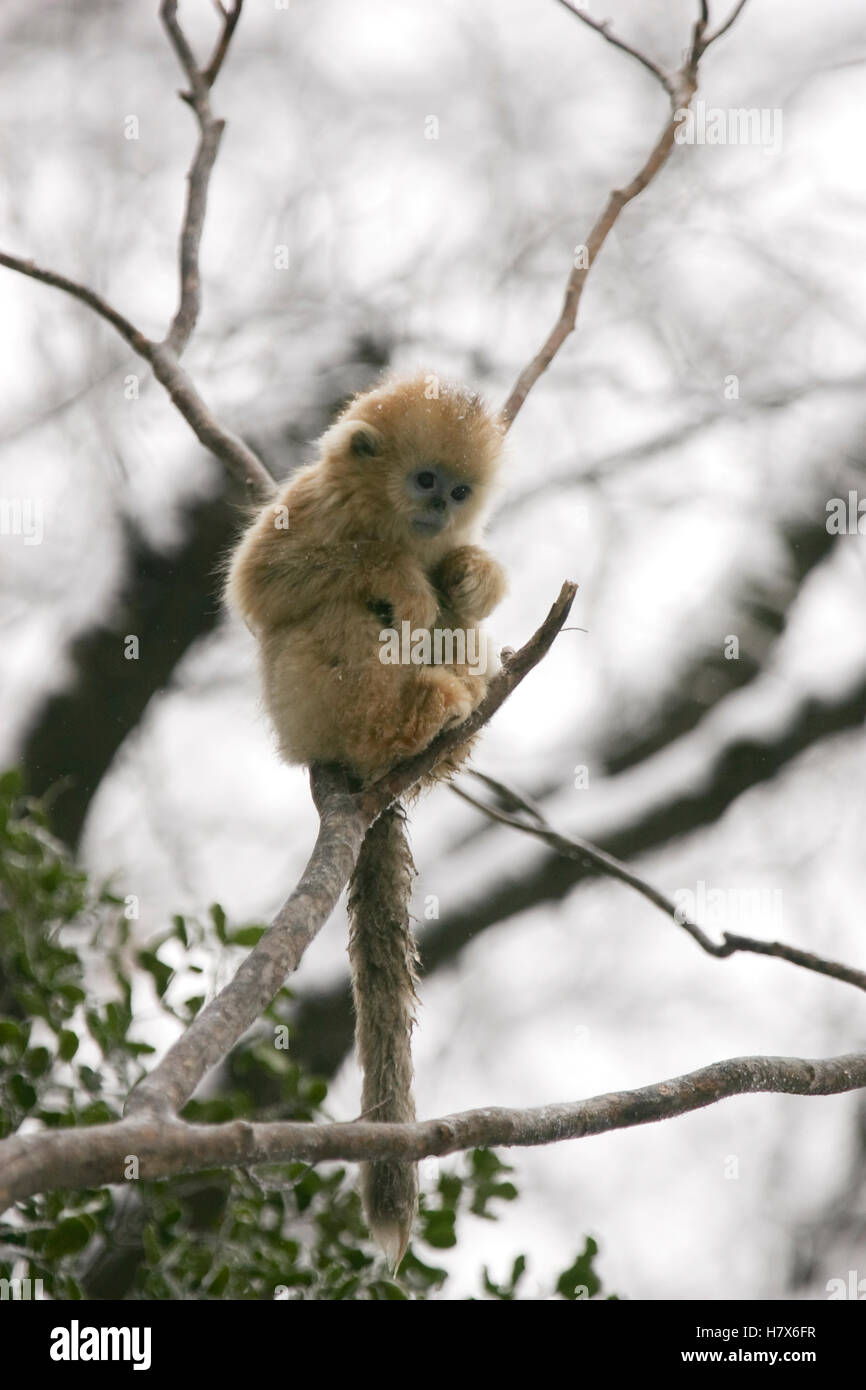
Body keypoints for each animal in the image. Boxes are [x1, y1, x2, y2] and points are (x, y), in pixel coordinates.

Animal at [225, 371, 507, 1270]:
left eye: (459, 492)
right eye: (425, 480)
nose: (440, 508)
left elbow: (465, 587)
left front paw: (475, 570)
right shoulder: (311, 509)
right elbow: (264, 584)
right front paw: (395, 568)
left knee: (458, 630)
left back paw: (452, 714)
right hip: (307, 704)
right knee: (350, 611)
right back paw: (411, 716)